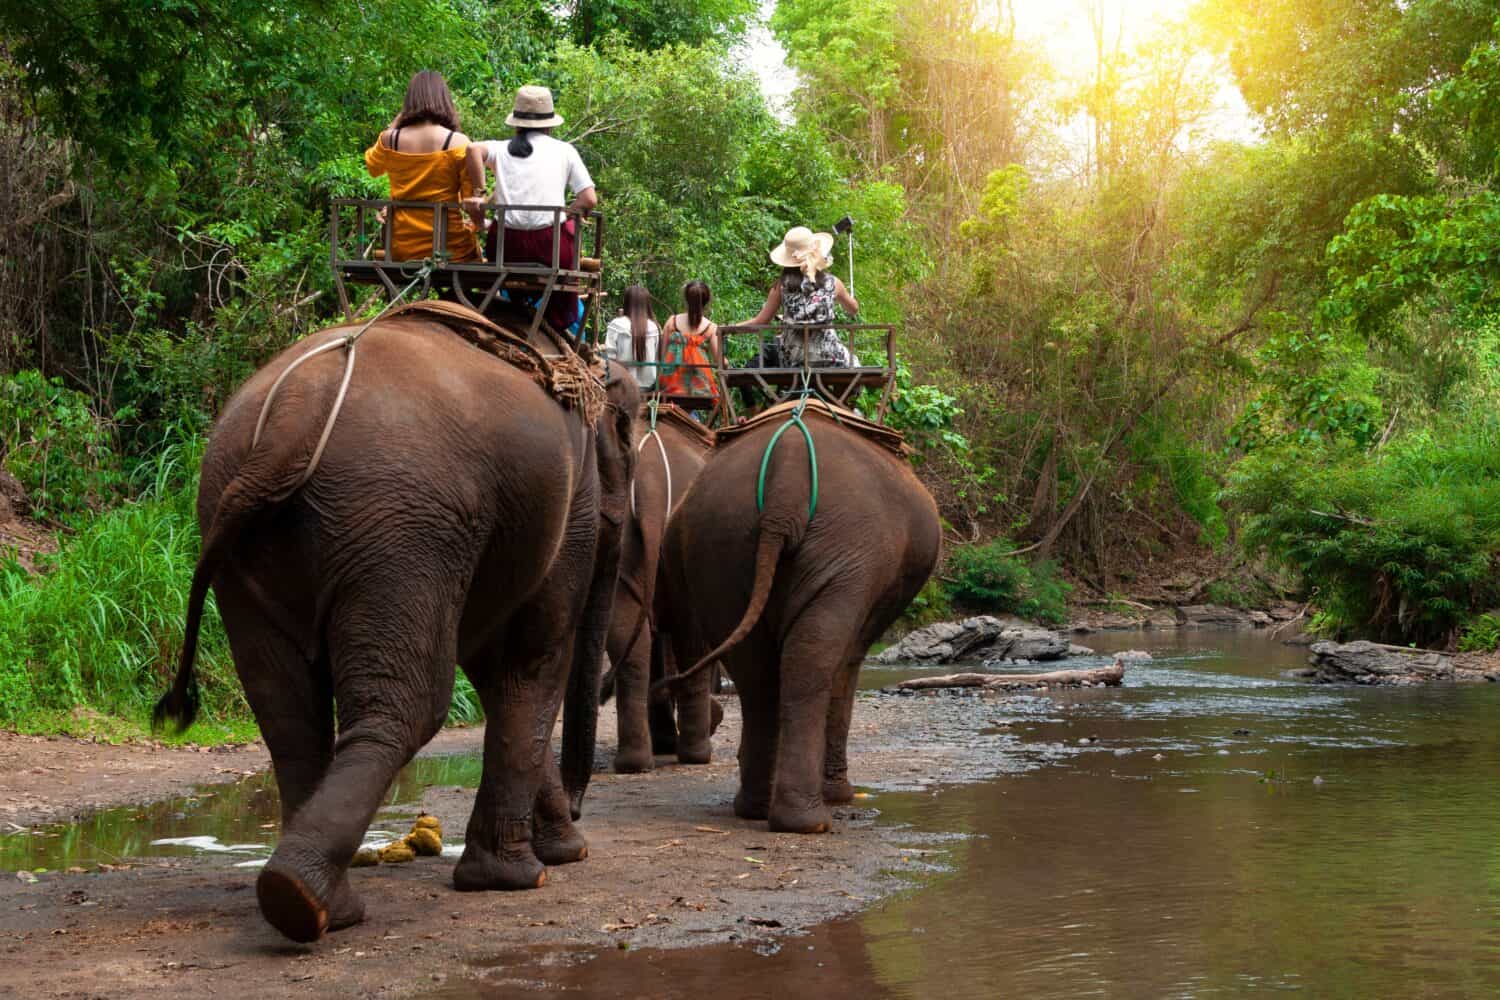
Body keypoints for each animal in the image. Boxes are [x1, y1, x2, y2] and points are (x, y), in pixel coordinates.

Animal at [153, 301, 638, 942]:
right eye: (628, 445)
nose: (581, 820)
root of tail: (289, 424)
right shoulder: (563, 503)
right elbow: (527, 659)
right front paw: (526, 875)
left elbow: (494, 667)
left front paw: (551, 857)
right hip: (400, 528)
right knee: (410, 704)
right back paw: (306, 900)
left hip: (256, 536)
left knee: (285, 709)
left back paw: (314, 903)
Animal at [596, 403, 713, 773]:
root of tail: (651, 486)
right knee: (688, 640)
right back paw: (689, 754)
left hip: (628, 546)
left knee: (630, 638)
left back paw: (639, 761)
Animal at [659, 402, 940, 833]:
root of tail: (786, 475)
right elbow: (848, 662)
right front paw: (840, 795)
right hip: (845, 548)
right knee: (811, 660)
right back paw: (809, 820)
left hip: (720, 543)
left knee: (756, 672)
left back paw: (759, 809)